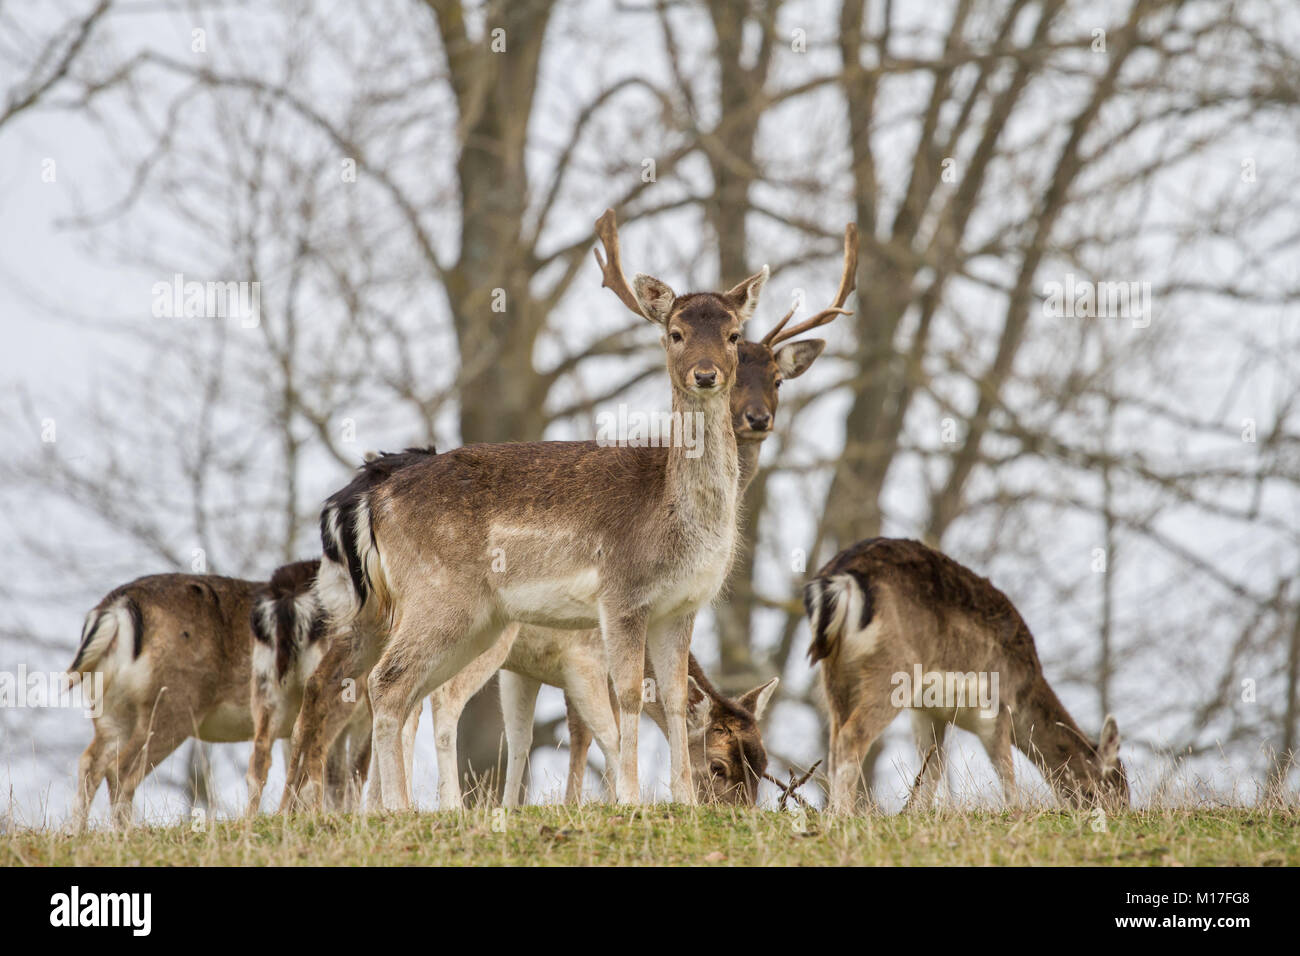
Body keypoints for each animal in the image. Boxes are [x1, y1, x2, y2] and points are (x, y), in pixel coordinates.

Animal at [300, 209, 856, 811]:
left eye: (732, 334)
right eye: (675, 333)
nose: (706, 374)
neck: (676, 521)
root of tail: (376, 499)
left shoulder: (681, 606)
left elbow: (674, 703)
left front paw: (681, 801)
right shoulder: (620, 597)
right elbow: (628, 700)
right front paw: (631, 799)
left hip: (467, 619)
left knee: (399, 692)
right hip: (439, 597)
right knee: (390, 684)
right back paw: (403, 808)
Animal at [802, 537, 1129, 814]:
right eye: (1111, 785)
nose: (1120, 812)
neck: (1024, 691)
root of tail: (842, 578)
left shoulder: (927, 711)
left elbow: (933, 769)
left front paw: (915, 814)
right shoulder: (997, 704)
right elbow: (1005, 769)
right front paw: (1015, 812)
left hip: (835, 669)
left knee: (834, 737)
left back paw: (832, 812)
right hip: (894, 666)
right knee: (852, 735)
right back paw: (844, 815)